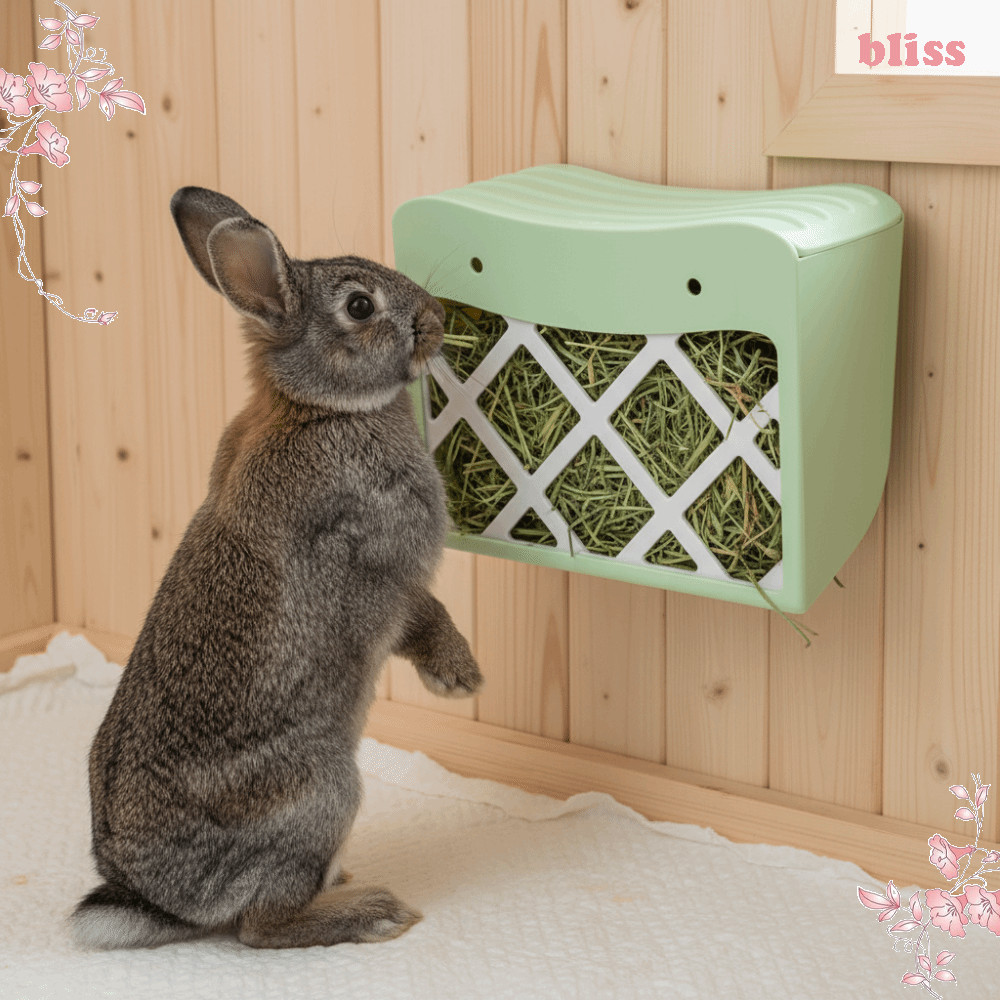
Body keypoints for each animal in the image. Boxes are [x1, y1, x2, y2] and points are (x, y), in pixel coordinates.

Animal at [68, 187, 483, 950]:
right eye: (359, 306)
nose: (436, 319)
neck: (317, 409)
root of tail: (154, 898)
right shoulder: (381, 560)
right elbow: (424, 613)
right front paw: (460, 678)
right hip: (323, 790)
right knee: (261, 928)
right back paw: (372, 910)